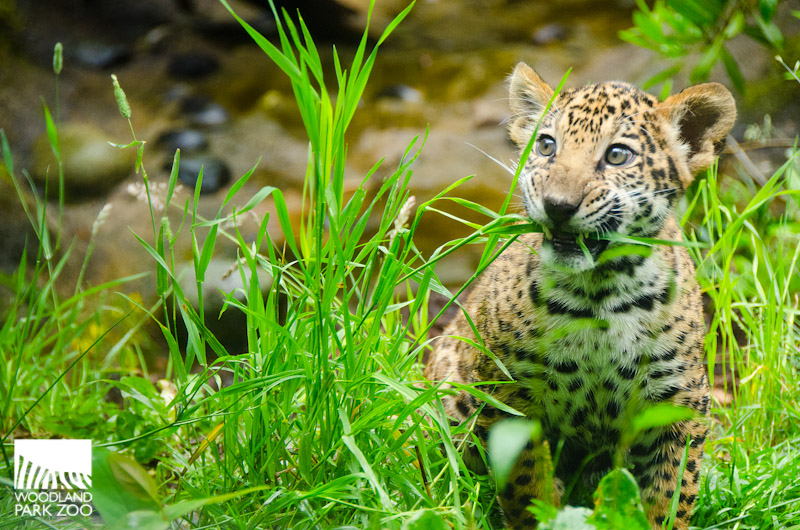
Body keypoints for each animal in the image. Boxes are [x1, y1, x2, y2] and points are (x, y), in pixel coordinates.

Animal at [424, 62, 735, 529]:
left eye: (617, 155)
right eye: (547, 146)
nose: (557, 205)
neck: (599, 294)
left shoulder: (677, 401)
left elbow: (670, 492)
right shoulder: (509, 396)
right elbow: (525, 485)